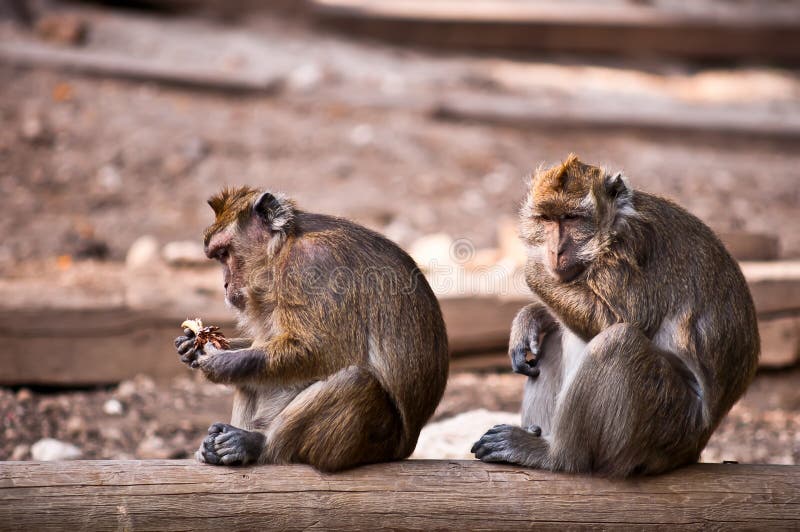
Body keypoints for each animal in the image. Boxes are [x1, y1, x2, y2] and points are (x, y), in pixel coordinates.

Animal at [174, 187, 449, 472]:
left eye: (224, 253)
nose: (225, 284)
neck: (284, 249)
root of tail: (407, 447)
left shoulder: (312, 267)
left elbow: (327, 350)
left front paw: (220, 363)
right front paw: (191, 345)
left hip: (375, 443)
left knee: (355, 381)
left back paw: (257, 445)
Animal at [471, 154, 759, 477]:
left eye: (571, 218)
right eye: (547, 219)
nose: (555, 250)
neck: (610, 226)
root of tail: (697, 444)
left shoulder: (629, 249)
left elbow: (617, 320)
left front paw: (534, 268)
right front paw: (530, 319)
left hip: (667, 423)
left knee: (619, 342)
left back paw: (557, 456)